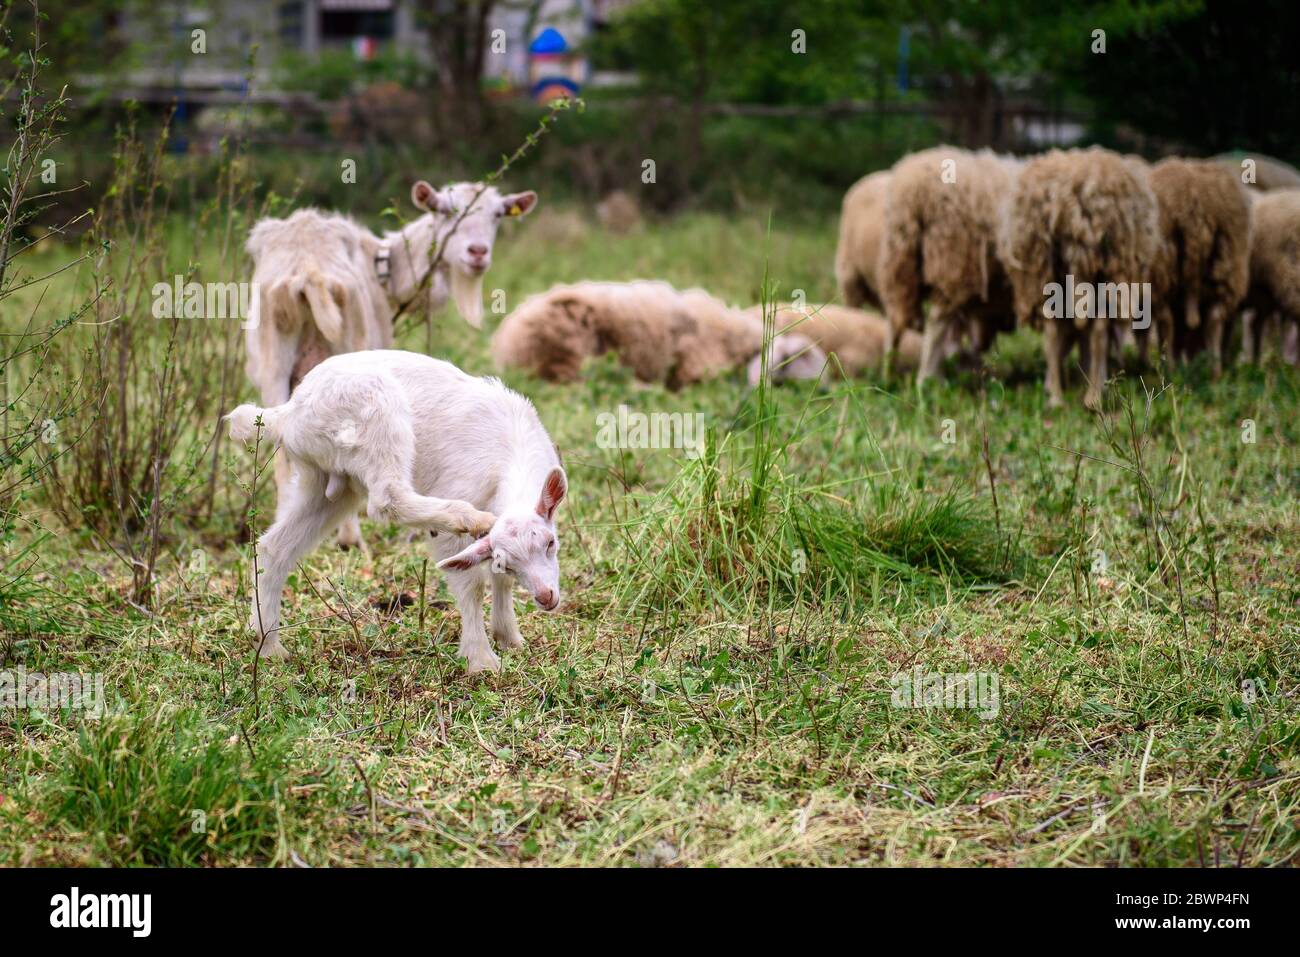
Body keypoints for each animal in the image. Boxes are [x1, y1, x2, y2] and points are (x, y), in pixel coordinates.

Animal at [225, 349, 566, 673]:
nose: (545, 597)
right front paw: (481, 660)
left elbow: (498, 579)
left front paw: (509, 638)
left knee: (274, 547)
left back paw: (268, 645)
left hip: (325, 482)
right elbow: (472, 583)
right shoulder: (456, 503)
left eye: (550, 543)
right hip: (376, 415)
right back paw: (469, 518)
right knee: (386, 499)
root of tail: (288, 413)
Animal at [246, 180, 537, 547]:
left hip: (274, 363)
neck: (383, 270)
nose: (477, 252)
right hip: (350, 349)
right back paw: (351, 539)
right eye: (446, 211)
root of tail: (307, 271)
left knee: (282, 456)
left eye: (498, 214)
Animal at [879, 146, 1020, 382]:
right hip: (954, 261)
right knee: (937, 322)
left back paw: (889, 375)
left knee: (895, 322)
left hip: (900, 261)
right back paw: (928, 379)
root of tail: (912, 187)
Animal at [998, 147, 1159, 409]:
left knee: (1057, 329)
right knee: (1097, 330)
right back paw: (1090, 396)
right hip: (1101, 269)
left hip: (1048, 267)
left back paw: (1060, 396)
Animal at [1147, 158, 1251, 375]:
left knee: (1168, 320)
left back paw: (1173, 369)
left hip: (1163, 270)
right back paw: (1212, 372)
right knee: (1212, 320)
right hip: (1227, 263)